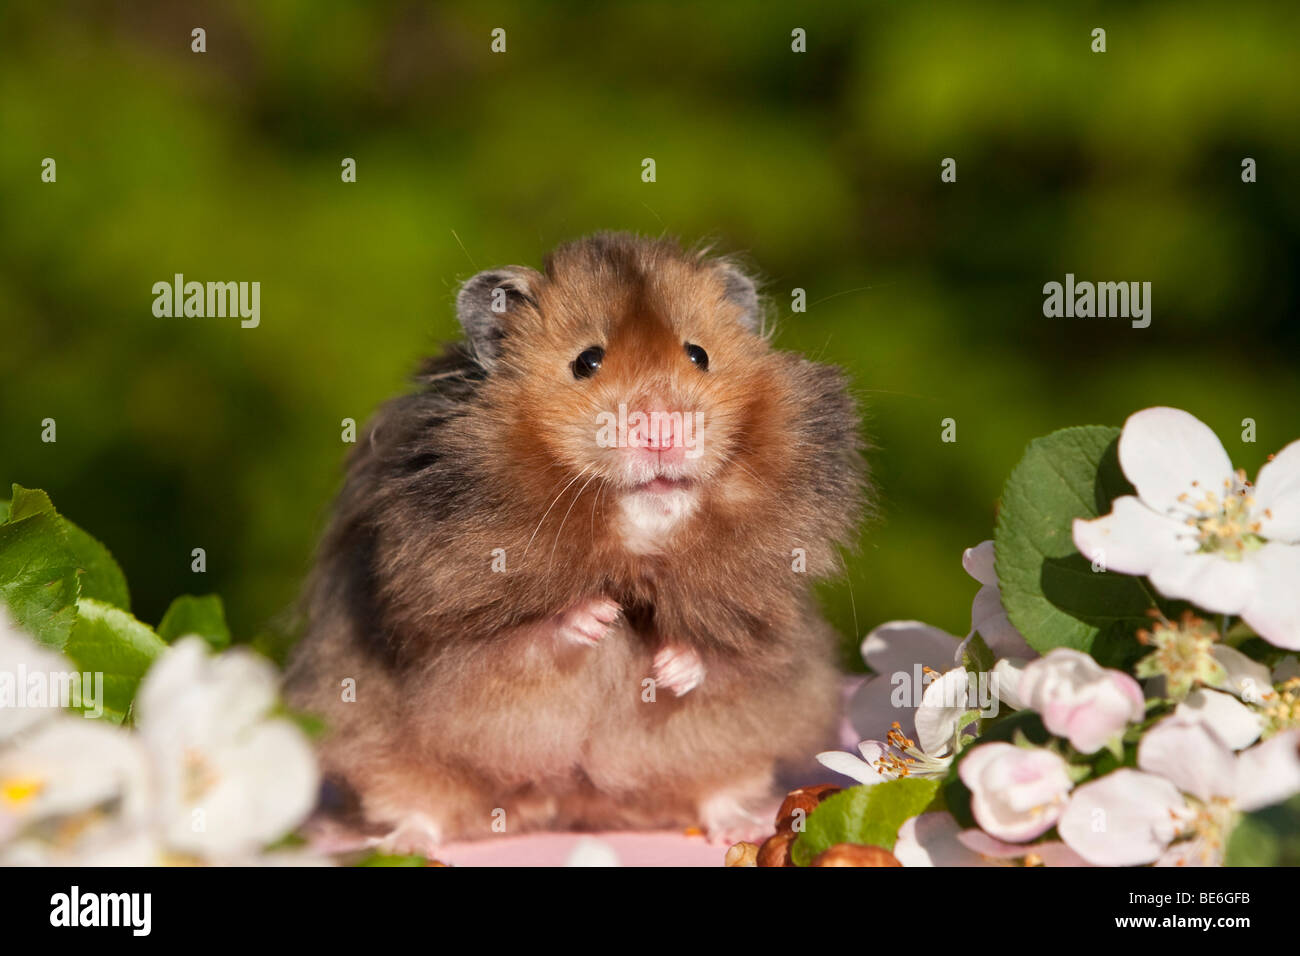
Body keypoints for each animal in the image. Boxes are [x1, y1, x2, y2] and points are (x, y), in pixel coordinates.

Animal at [285, 232, 867, 853]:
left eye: (699, 355)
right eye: (586, 361)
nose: (663, 429)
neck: (635, 550)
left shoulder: (771, 634)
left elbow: (726, 659)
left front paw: (668, 666)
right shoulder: (440, 631)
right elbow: (523, 638)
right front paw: (600, 617)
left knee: (721, 789)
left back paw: (742, 826)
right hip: (385, 753)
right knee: (413, 805)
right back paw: (402, 843)